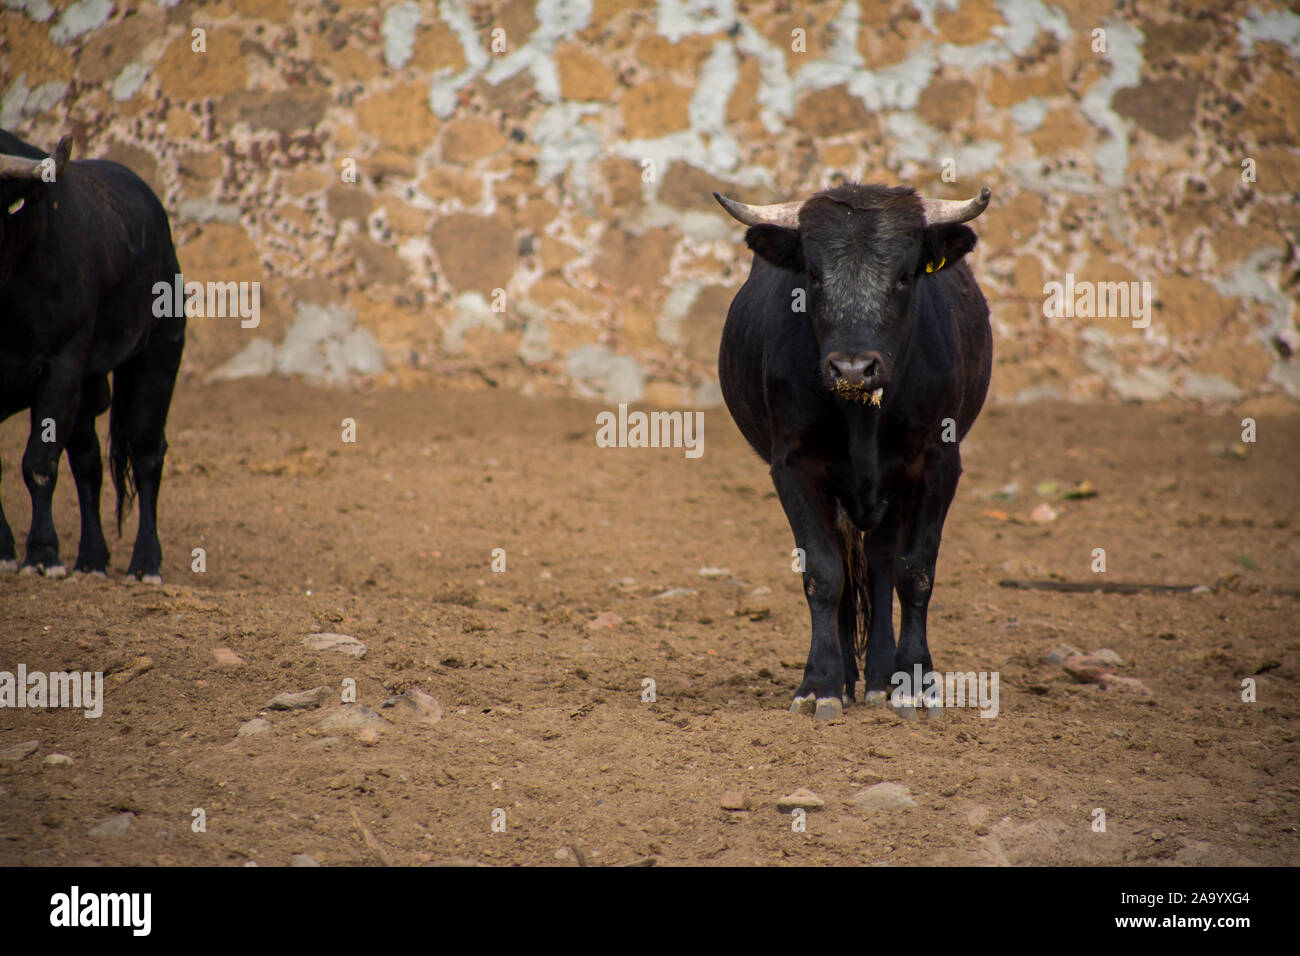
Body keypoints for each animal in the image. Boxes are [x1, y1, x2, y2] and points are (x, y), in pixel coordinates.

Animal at [0, 130, 185, 583]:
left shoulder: (59, 370)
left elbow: (39, 462)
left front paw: (43, 555)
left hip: (157, 357)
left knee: (146, 452)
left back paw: (144, 564)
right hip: (87, 388)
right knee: (88, 459)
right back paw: (92, 560)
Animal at [714, 183, 993, 720]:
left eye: (905, 276)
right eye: (814, 275)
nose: (851, 368)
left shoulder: (939, 463)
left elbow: (914, 570)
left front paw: (916, 683)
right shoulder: (793, 467)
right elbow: (823, 574)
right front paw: (819, 684)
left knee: (882, 567)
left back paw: (883, 678)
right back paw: (848, 680)